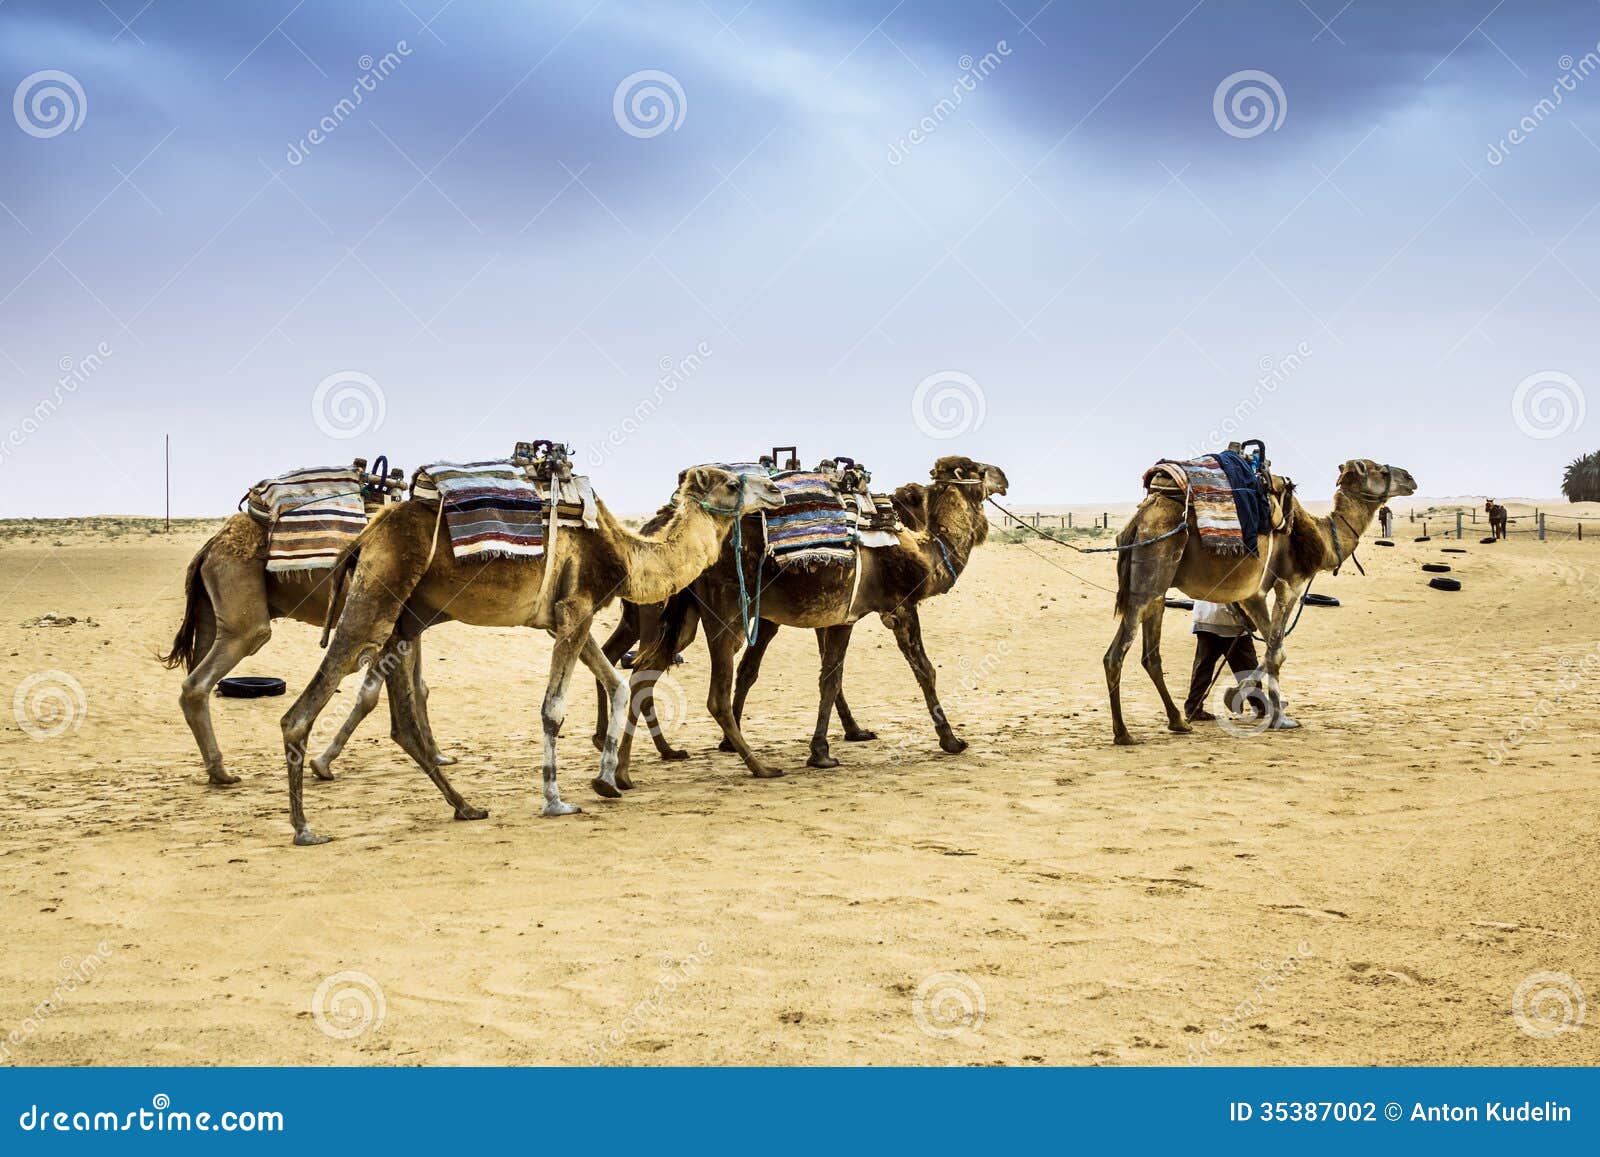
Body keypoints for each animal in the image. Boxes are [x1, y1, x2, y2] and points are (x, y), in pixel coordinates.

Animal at [163, 480, 448, 786]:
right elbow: (370, 697)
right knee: (205, 676)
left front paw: (438, 755)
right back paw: (222, 772)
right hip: (243, 609)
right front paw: (322, 763)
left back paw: (214, 771)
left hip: (209, 612)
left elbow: (418, 688)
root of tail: (209, 547)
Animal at [278, 466, 783, 845]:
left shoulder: (562, 617)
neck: (625, 552)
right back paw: (305, 828)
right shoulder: (576, 607)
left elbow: (619, 684)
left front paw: (606, 781)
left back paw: (466, 807)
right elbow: (553, 708)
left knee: (402, 723)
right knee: (302, 710)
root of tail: (367, 535)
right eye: (731, 483)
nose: (776, 491)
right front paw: (556, 800)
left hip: (405, 618)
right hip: (377, 594)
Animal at [626, 457, 1008, 779]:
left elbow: (830, 679)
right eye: (977, 468)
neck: (921, 550)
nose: (1003, 476)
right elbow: (924, 670)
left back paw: (642, 765)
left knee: (644, 671)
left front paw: (823, 750)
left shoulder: (841, 617)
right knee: (712, 692)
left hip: (684, 613)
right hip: (724, 610)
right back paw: (757, 767)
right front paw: (951, 740)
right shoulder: (900, 606)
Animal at [1104, 458, 1416, 744]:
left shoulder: (1252, 594)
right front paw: (1280, 717)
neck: (1321, 538)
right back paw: (1124, 733)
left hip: (1156, 590)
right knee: (1116, 654)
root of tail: (1138, 521)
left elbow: (1271, 647)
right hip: (1151, 572)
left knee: (1150, 655)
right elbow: (1277, 651)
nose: (1411, 478)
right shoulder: (1290, 584)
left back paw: (1178, 722)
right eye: (1381, 471)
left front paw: (1237, 695)